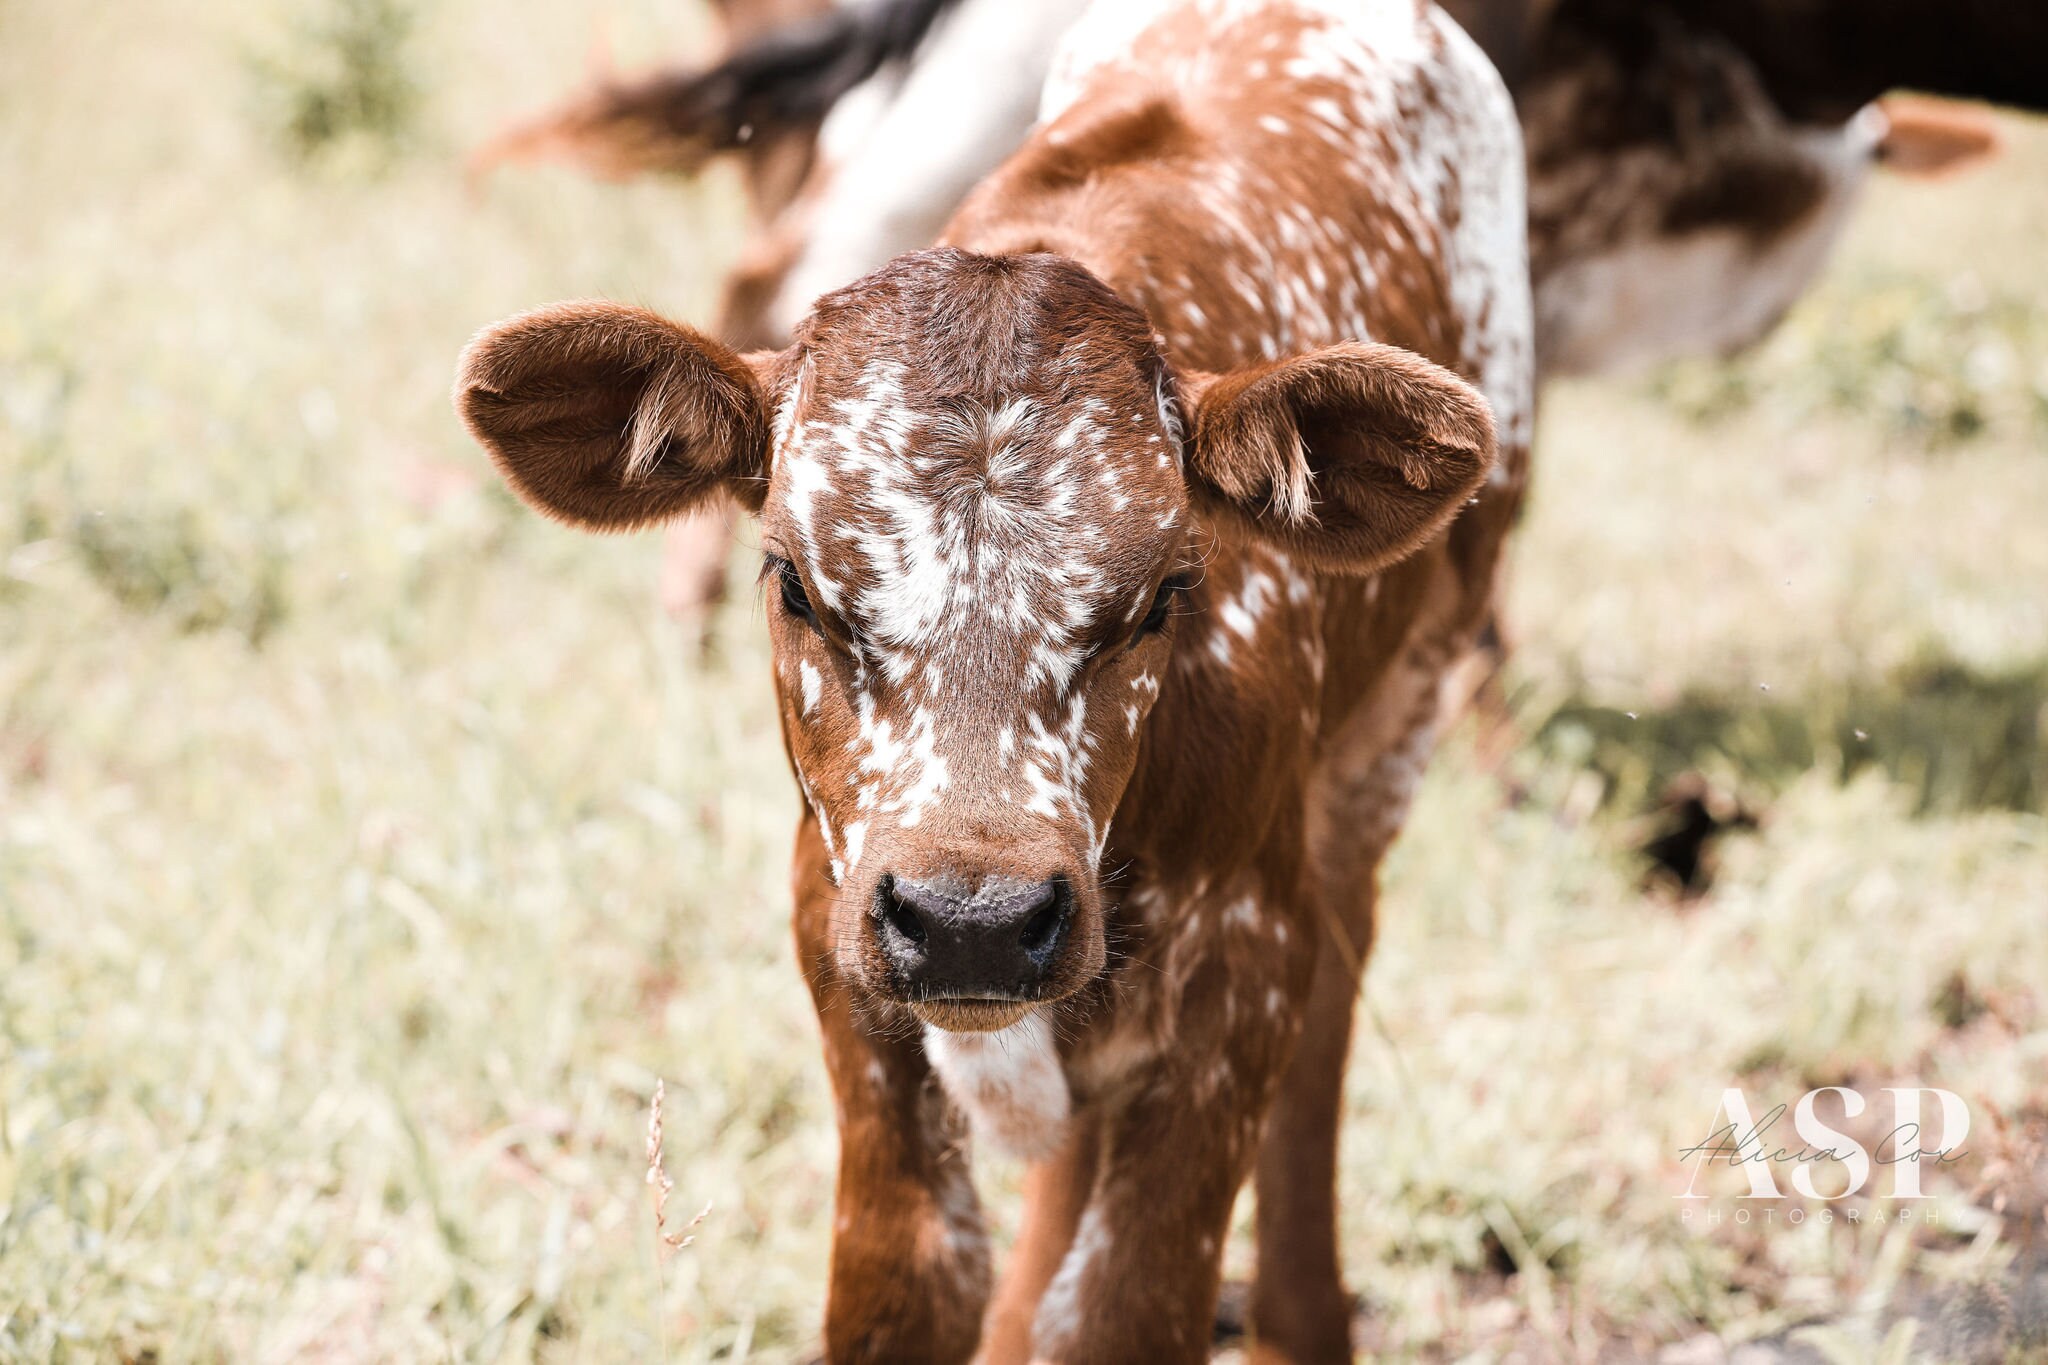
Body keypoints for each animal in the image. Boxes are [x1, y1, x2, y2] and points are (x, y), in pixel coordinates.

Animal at [455, 1, 1533, 1359]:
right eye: (795, 582)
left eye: (1163, 593)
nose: (972, 920)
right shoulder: (843, 960)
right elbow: (911, 1278)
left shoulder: (1247, 970)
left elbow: (1126, 1306)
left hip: (1402, 713)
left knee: (1343, 970)